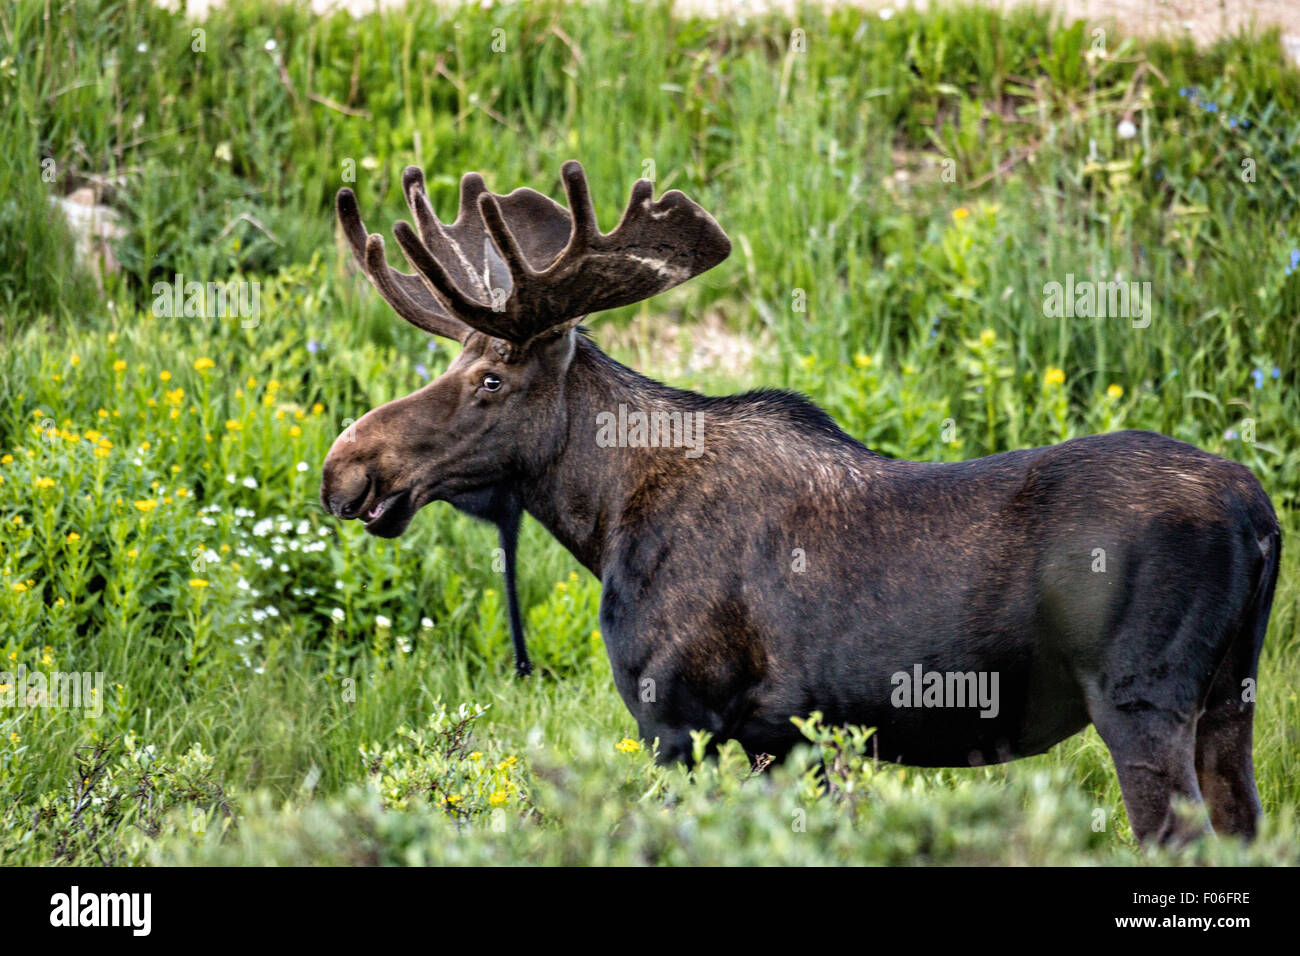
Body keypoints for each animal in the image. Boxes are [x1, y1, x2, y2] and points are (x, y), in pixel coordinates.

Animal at [321, 160, 1281, 847]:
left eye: (489, 379)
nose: (345, 467)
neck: (604, 521)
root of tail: (1263, 521)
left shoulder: (682, 719)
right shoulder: (789, 742)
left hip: (1142, 700)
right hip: (1230, 699)